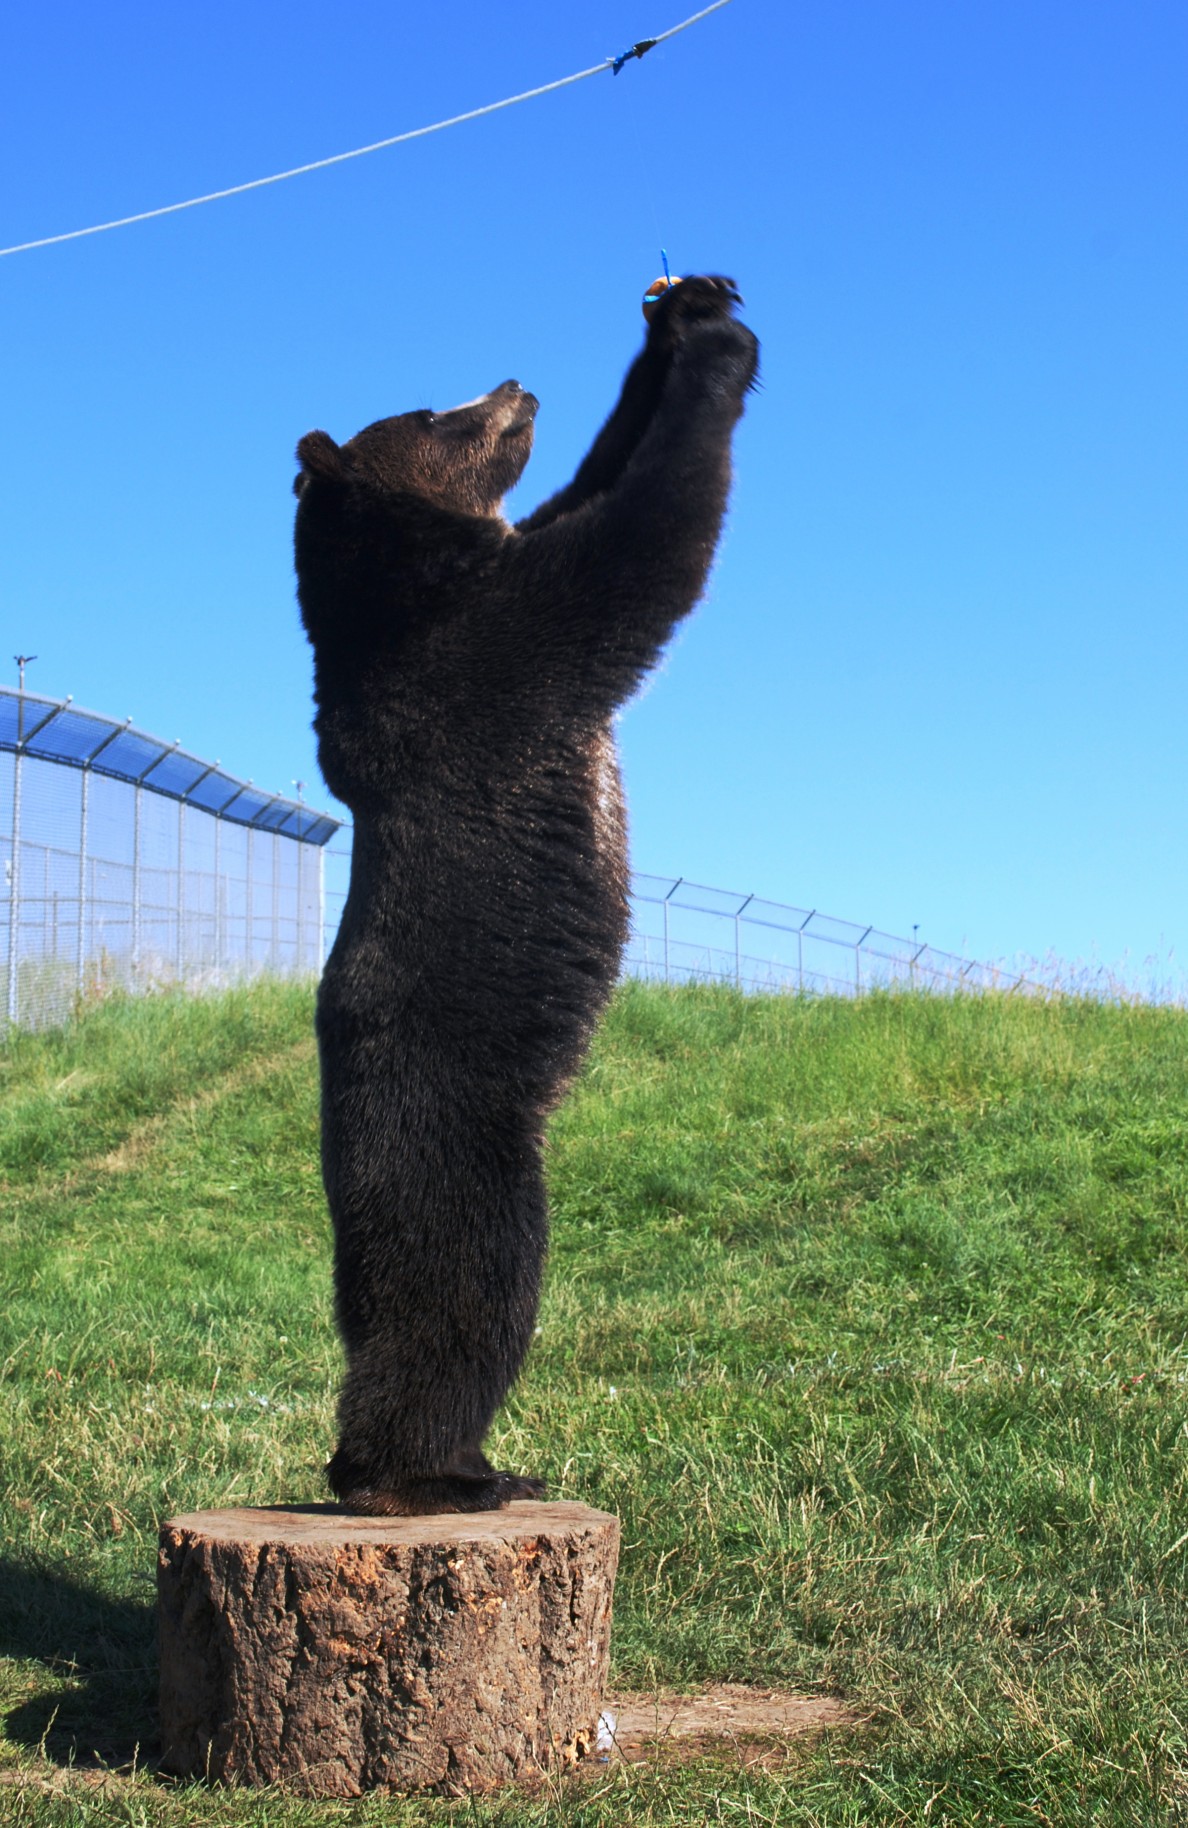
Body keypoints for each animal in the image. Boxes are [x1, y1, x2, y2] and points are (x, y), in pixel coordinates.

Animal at [294, 275, 758, 1515]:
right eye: (434, 411)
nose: (513, 381)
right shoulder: (500, 647)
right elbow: (647, 545)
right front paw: (719, 354)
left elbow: (592, 487)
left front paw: (673, 322)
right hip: (466, 1153)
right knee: (464, 1308)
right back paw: (427, 1475)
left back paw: (477, 1462)